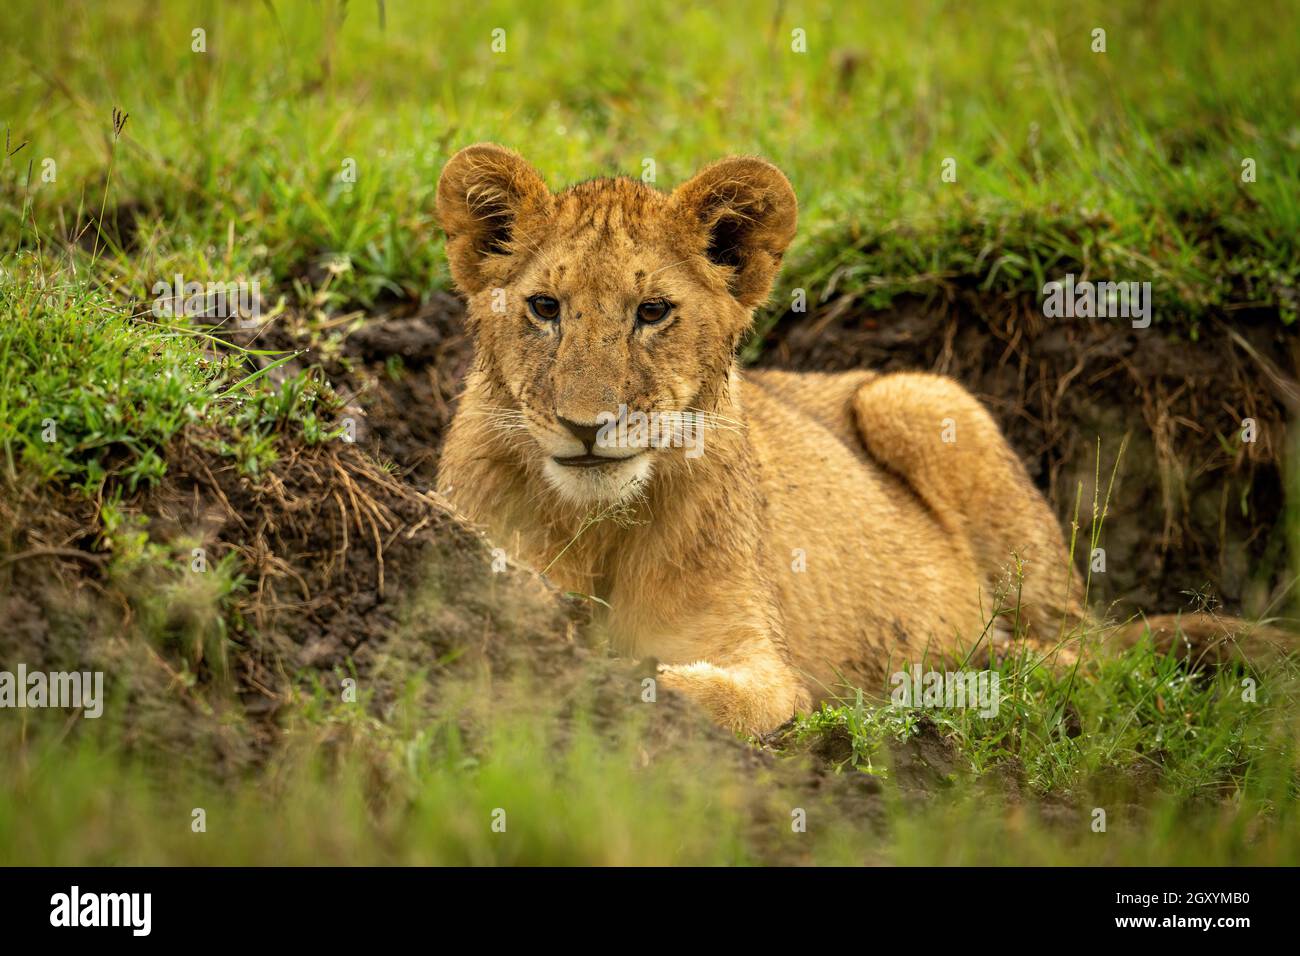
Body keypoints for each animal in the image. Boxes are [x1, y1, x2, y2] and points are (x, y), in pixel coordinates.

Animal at [434, 143, 1291, 734]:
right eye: (545, 308)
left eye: (652, 312)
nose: (588, 424)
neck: (597, 525)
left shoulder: (755, 655)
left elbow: (702, 691)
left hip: (917, 396)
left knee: (1091, 659)